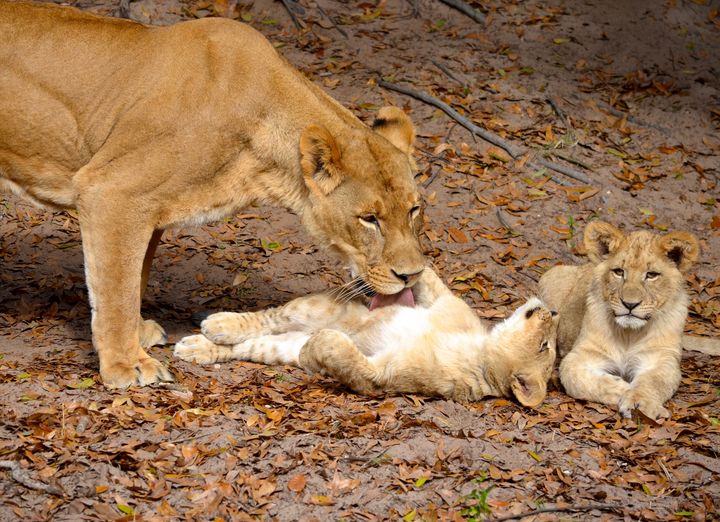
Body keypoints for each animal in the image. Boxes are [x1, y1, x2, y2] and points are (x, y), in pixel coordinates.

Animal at [0, 2, 425, 388]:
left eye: (414, 210)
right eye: (369, 219)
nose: (412, 276)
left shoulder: (148, 209)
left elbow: (134, 275)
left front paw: (138, 334)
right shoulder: (110, 190)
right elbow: (117, 288)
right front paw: (126, 365)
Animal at [174, 269, 560, 407]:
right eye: (547, 346)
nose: (553, 314)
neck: (478, 348)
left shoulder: (384, 377)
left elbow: (339, 349)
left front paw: (314, 352)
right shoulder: (444, 301)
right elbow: (430, 275)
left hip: (288, 338)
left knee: (250, 344)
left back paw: (198, 345)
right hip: (315, 307)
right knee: (264, 318)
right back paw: (216, 325)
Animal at [539, 221, 711, 420]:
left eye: (651, 275)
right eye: (619, 272)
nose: (630, 304)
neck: (629, 334)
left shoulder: (662, 358)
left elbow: (653, 381)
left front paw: (639, 401)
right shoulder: (580, 355)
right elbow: (580, 380)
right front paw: (623, 388)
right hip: (551, 276)